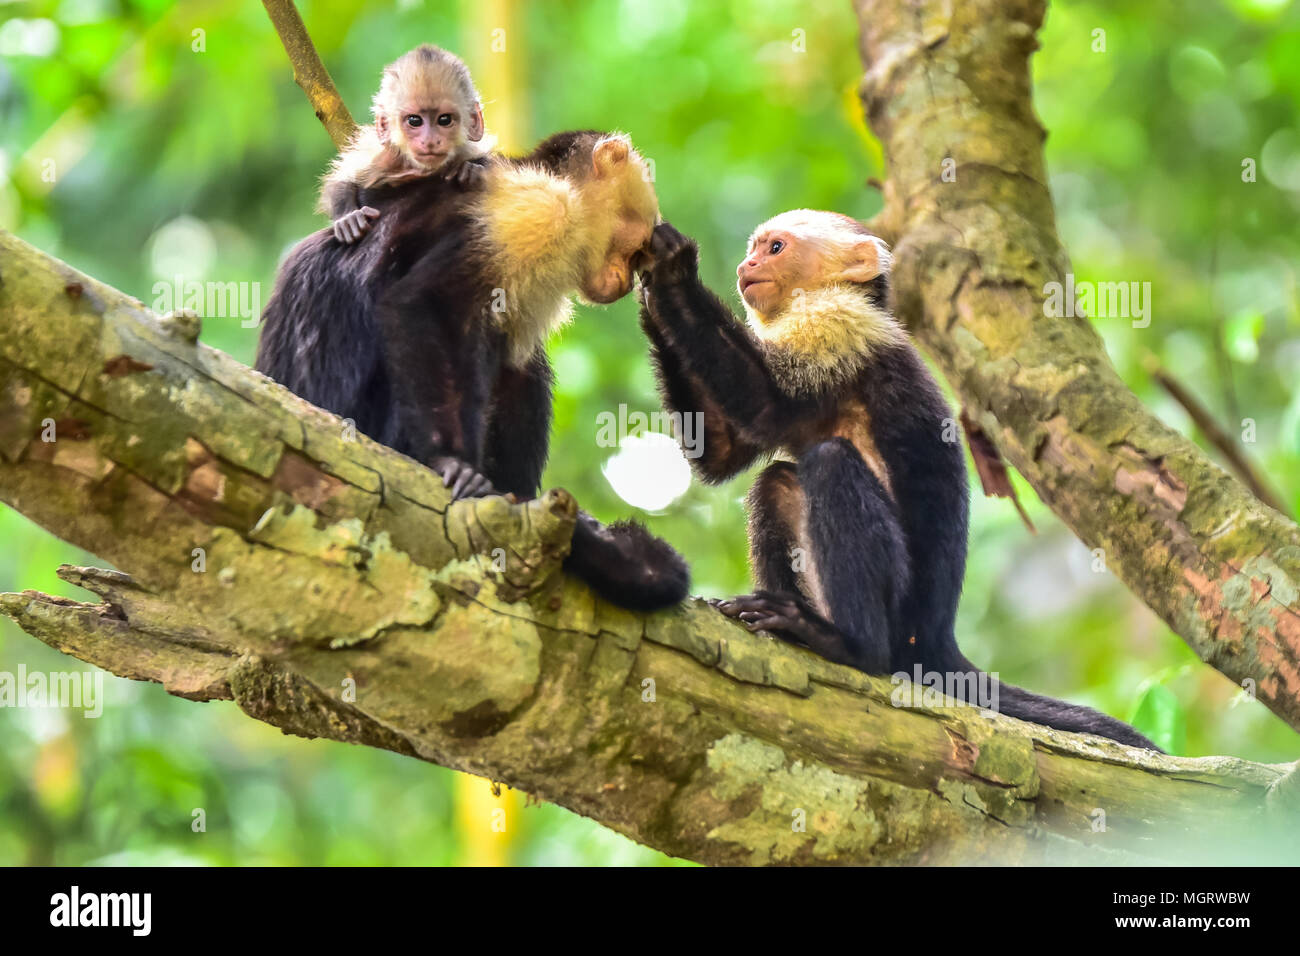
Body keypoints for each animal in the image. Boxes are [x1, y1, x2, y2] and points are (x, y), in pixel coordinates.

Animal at [257, 130, 689, 611]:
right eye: (636, 252)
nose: (627, 281)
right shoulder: (539, 212)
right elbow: (419, 303)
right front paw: (453, 463)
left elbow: (513, 366)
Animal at [319, 44, 492, 244]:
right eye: (414, 121)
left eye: (445, 119)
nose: (430, 140)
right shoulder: (383, 156)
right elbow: (343, 179)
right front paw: (348, 216)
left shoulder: (464, 151)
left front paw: (472, 169)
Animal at [634, 211, 1158, 749]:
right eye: (753, 250)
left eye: (775, 248)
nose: (747, 266)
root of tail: (935, 638)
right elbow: (721, 452)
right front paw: (649, 296)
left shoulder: (840, 323)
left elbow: (767, 403)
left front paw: (672, 272)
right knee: (777, 482)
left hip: (902, 607)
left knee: (829, 463)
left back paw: (849, 646)